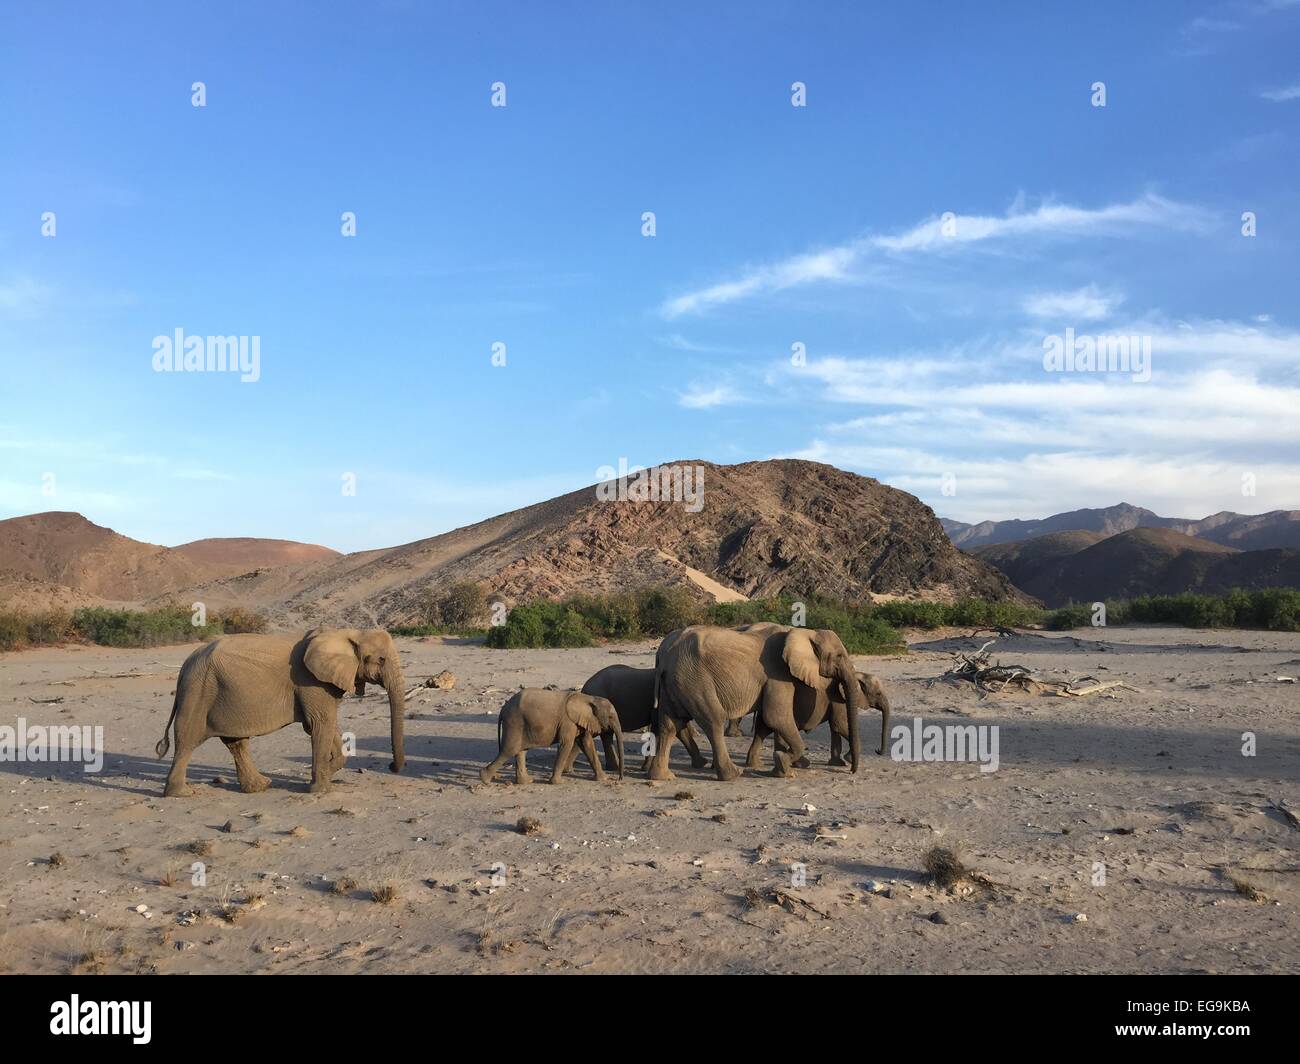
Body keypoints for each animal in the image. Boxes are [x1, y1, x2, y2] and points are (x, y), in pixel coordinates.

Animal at [155, 628, 406, 797]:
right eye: (381, 659)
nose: (391, 767)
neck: (347, 632)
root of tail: (184, 667)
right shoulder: (309, 680)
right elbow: (319, 723)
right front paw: (320, 789)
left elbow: (325, 724)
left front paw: (330, 769)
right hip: (198, 693)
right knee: (187, 740)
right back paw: (180, 793)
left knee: (236, 742)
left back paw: (260, 787)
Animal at [480, 688, 624, 785]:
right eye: (610, 717)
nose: (619, 779)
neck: (588, 698)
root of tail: (503, 709)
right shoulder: (567, 721)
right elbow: (566, 743)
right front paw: (558, 783)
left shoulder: (579, 722)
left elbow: (587, 744)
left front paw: (603, 779)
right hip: (514, 723)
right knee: (509, 750)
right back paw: (485, 779)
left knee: (521, 751)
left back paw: (526, 781)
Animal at [578, 664, 707, 772]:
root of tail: (584, 688)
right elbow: (660, 729)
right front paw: (645, 769)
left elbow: (679, 730)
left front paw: (702, 764)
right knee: (606, 734)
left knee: (607, 734)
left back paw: (613, 768)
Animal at [650, 622, 868, 781]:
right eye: (839, 656)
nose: (851, 771)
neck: (803, 632)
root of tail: (664, 654)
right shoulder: (777, 673)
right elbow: (777, 717)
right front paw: (783, 764)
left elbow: (766, 722)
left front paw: (769, 766)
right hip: (694, 680)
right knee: (713, 721)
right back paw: (732, 774)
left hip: (674, 683)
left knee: (669, 724)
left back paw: (663, 776)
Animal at [745, 670, 891, 771]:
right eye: (878, 693)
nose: (878, 750)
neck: (856, 674)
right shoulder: (838, 699)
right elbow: (840, 725)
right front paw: (848, 759)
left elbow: (835, 729)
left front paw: (839, 763)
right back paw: (800, 764)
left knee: (762, 730)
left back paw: (755, 764)